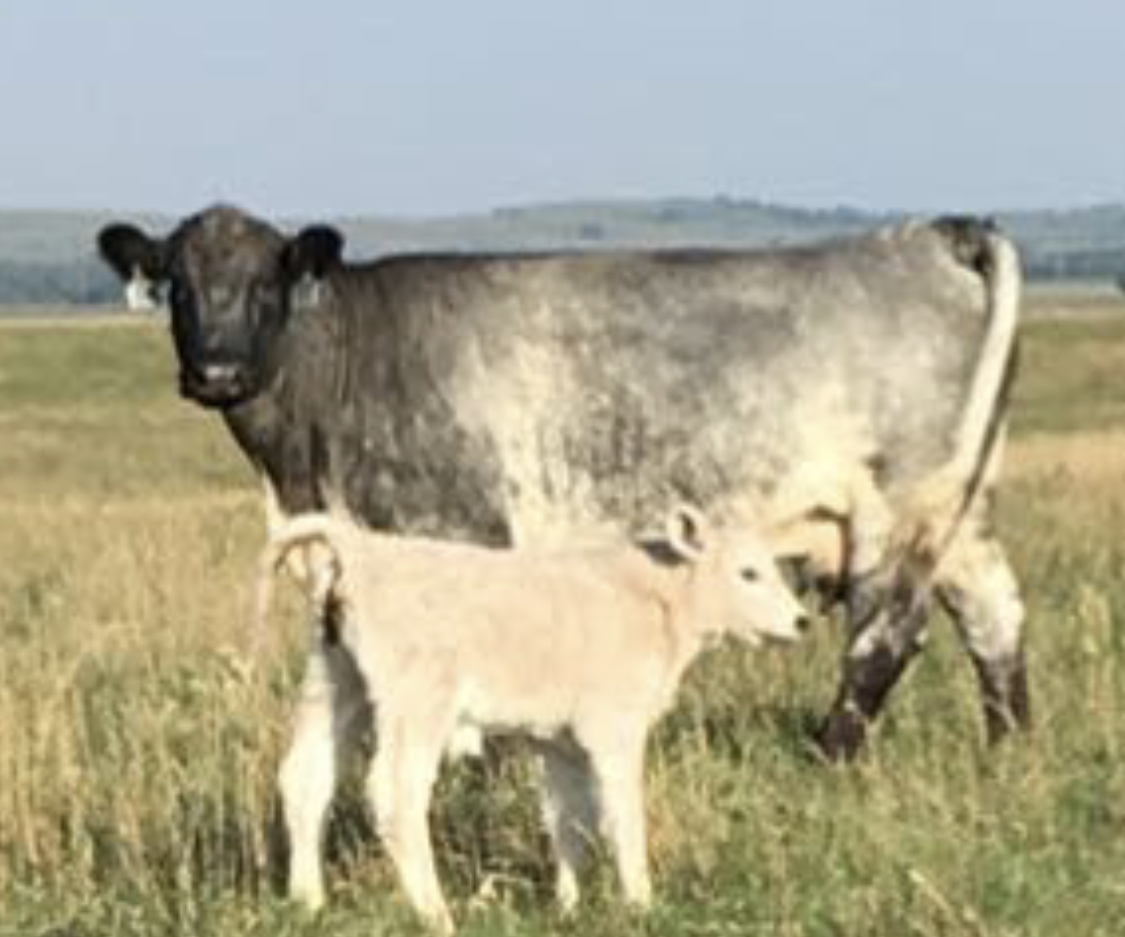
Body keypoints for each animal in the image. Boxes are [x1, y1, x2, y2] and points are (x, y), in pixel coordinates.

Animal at [96, 205, 1028, 761]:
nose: (217, 370)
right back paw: (1007, 750)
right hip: (962, 512)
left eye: (266, 284)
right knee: (994, 614)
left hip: (897, 507)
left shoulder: (454, 527)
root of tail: (925, 236)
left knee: (886, 635)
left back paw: (827, 752)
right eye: (177, 284)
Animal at [257, 506, 808, 932]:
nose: (802, 620)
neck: (655, 599)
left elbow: (569, 821)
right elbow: (623, 816)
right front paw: (641, 906)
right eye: (748, 573)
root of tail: (364, 548)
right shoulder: (615, 728)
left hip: (334, 684)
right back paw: (435, 916)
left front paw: (568, 909)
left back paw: (308, 904)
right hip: (416, 703)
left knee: (305, 779)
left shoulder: (560, 743)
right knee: (395, 796)